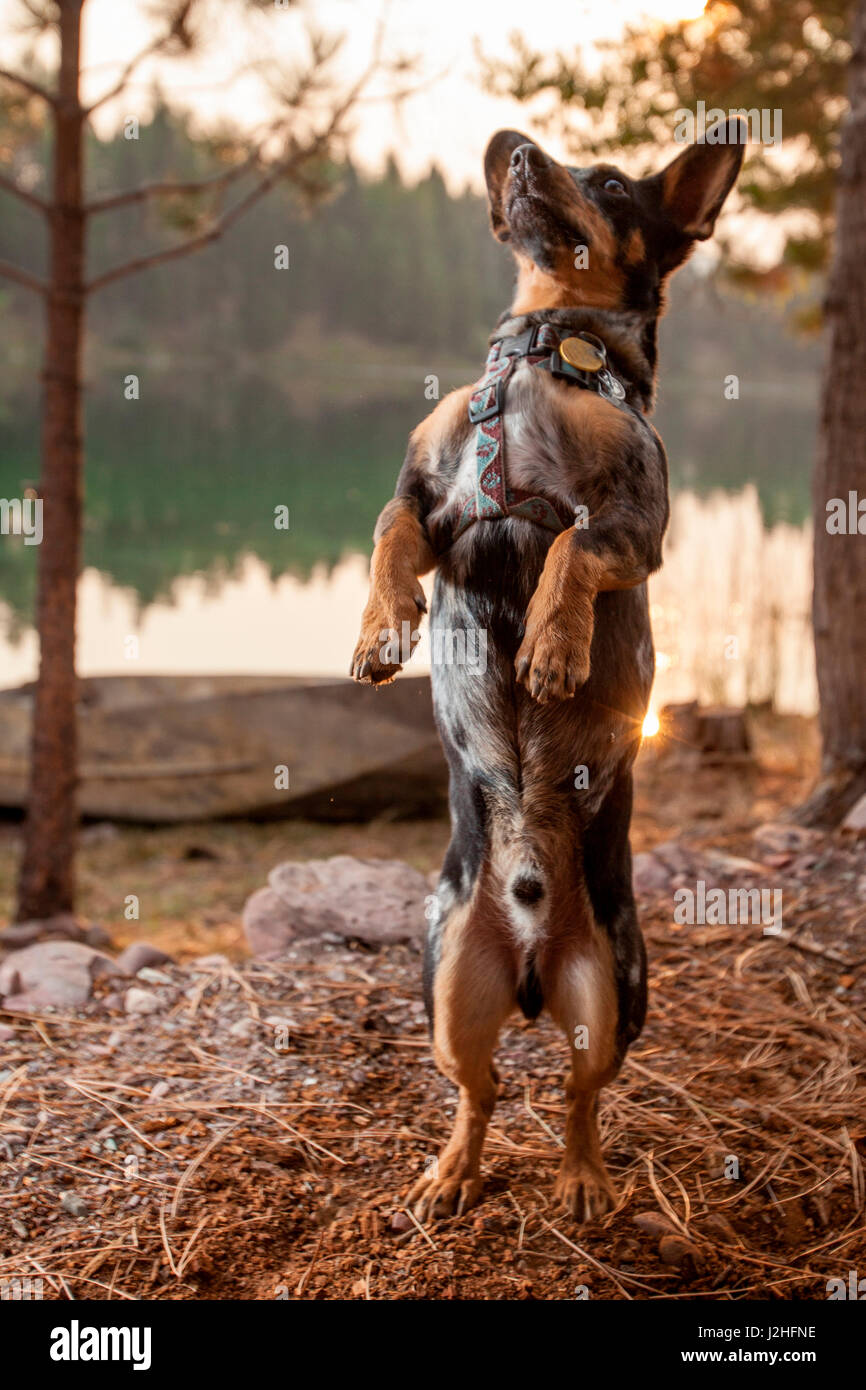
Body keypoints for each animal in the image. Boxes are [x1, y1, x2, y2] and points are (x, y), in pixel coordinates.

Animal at [353, 122, 745, 1228]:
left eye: (609, 183)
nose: (513, 144)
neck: (542, 355)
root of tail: (530, 963)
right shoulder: (426, 501)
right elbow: (387, 535)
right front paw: (381, 630)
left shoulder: (634, 525)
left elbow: (568, 548)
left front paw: (553, 646)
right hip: (447, 991)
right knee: (478, 1092)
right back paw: (451, 1172)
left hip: (611, 995)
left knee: (577, 1094)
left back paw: (582, 1179)